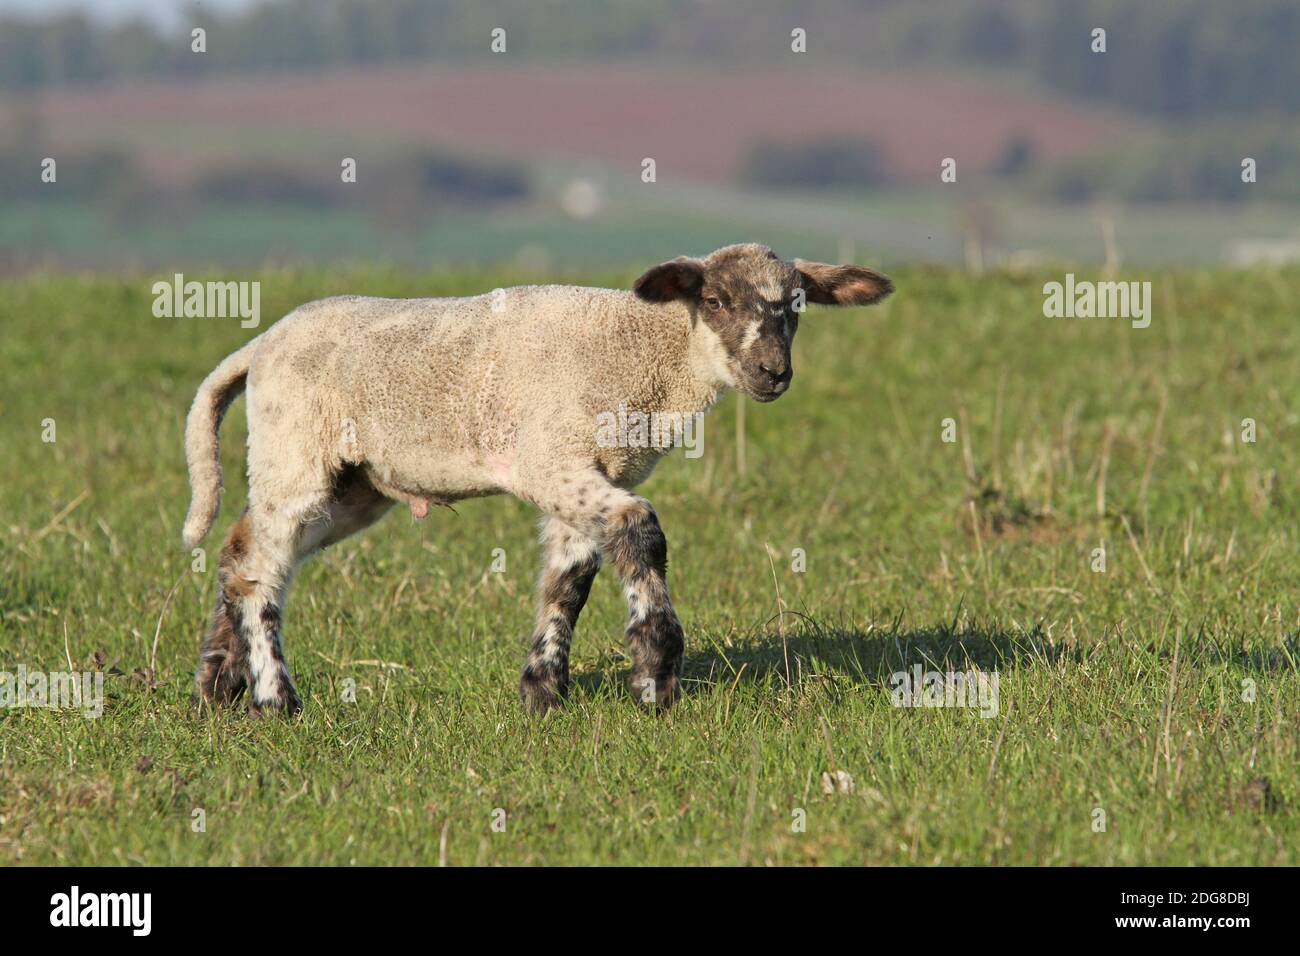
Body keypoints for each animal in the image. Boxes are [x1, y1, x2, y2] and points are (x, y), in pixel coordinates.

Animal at [182, 243, 893, 715]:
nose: (773, 372)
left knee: (241, 551)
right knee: (260, 568)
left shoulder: (586, 472)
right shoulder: (550, 458)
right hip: (295, 448)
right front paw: (655, 676)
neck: (641, 356)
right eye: (714, 301)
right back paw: (276, 699)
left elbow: (569, 581)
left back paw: (218, 684)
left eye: (797, 307)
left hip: (351, 485)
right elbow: (640, 531)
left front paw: (542, 692)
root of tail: (257, 348)